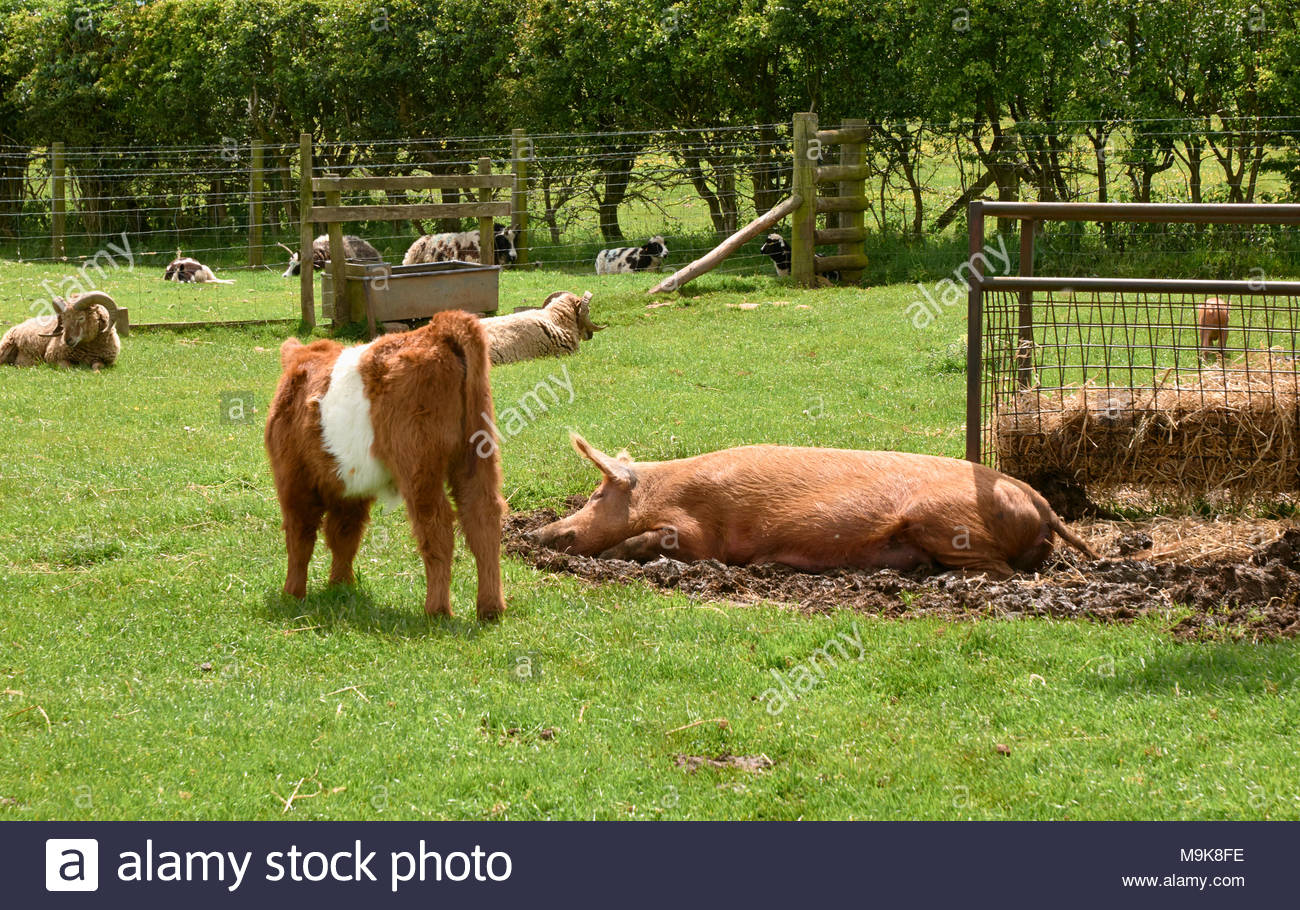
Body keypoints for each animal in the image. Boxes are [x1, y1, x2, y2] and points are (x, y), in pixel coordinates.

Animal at [264, 310, 506, 619]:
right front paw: (340, 587)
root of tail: (437, 328)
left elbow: (300, 537)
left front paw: (293, 593)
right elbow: (344, 534)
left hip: (418, 466)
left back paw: (436, 610)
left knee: (437, 525)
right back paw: (490, 608)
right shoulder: (349, 487)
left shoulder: (294, 479)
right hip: (476, 456)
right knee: (482, 516)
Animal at [528, 434, 1097, 578]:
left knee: (1000, 572)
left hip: (945, 520)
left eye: (597, 494)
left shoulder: (700, 533)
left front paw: (614, 556)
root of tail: (1040, 501)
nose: (536, 535)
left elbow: (664, 541)